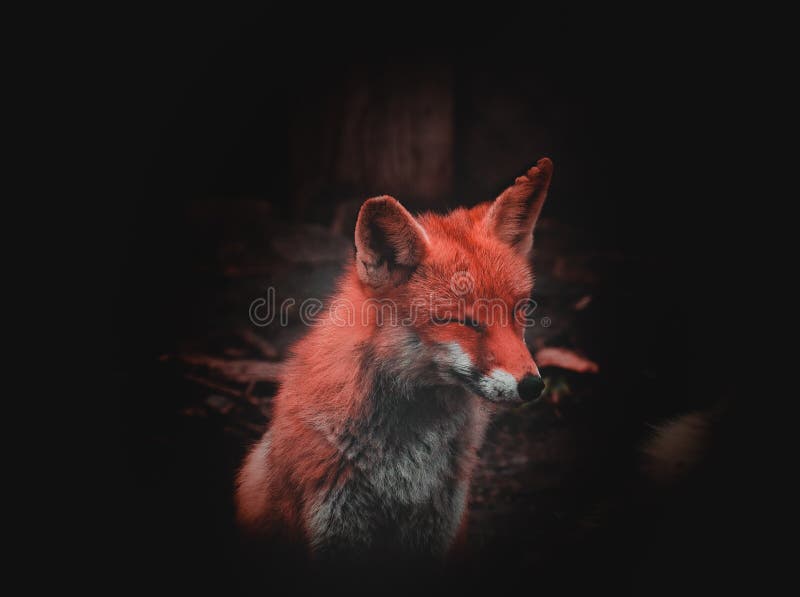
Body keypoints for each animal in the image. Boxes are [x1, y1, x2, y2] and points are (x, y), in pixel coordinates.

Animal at [236, 158, 554, 561]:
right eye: (463, 322)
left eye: (519, 310)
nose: (533, 386)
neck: (405, 466)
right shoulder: (331, 525)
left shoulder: (439, 526)